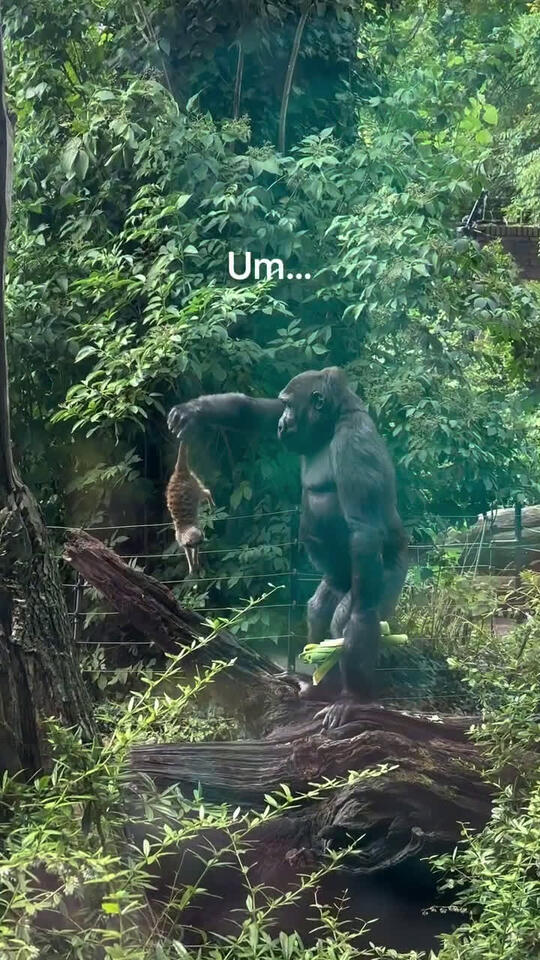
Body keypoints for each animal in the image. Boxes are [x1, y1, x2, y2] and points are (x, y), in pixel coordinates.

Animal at [166, 441, 214, 574]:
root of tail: (179, 472)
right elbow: (187, 552)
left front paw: (194, 563)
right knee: (204, 492)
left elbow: (192, 553)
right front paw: (192, 565)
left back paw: (211, 503)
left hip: (194, 486)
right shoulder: (181, 539)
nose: (203, 540)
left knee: (206, 492)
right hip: (194, 483)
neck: (186, 526)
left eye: (202, 539)